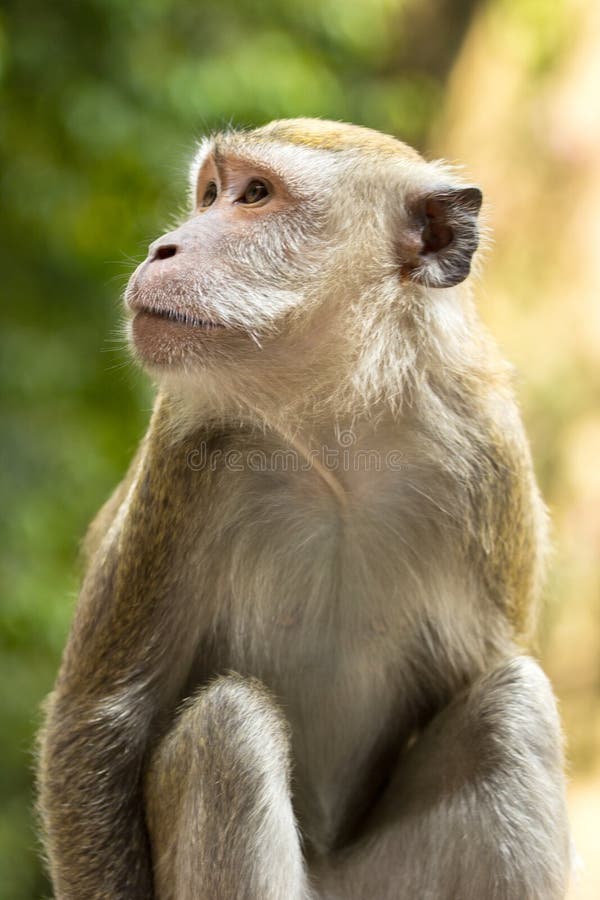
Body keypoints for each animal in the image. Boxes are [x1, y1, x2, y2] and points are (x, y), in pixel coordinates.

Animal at [37, 118, 571, 900]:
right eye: (209, 195)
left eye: (256, 195)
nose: (164, 248)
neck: (336, 441)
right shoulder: (184, 451)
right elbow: (100, 721)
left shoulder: (492, 462)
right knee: (228, 727)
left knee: (513, 708)